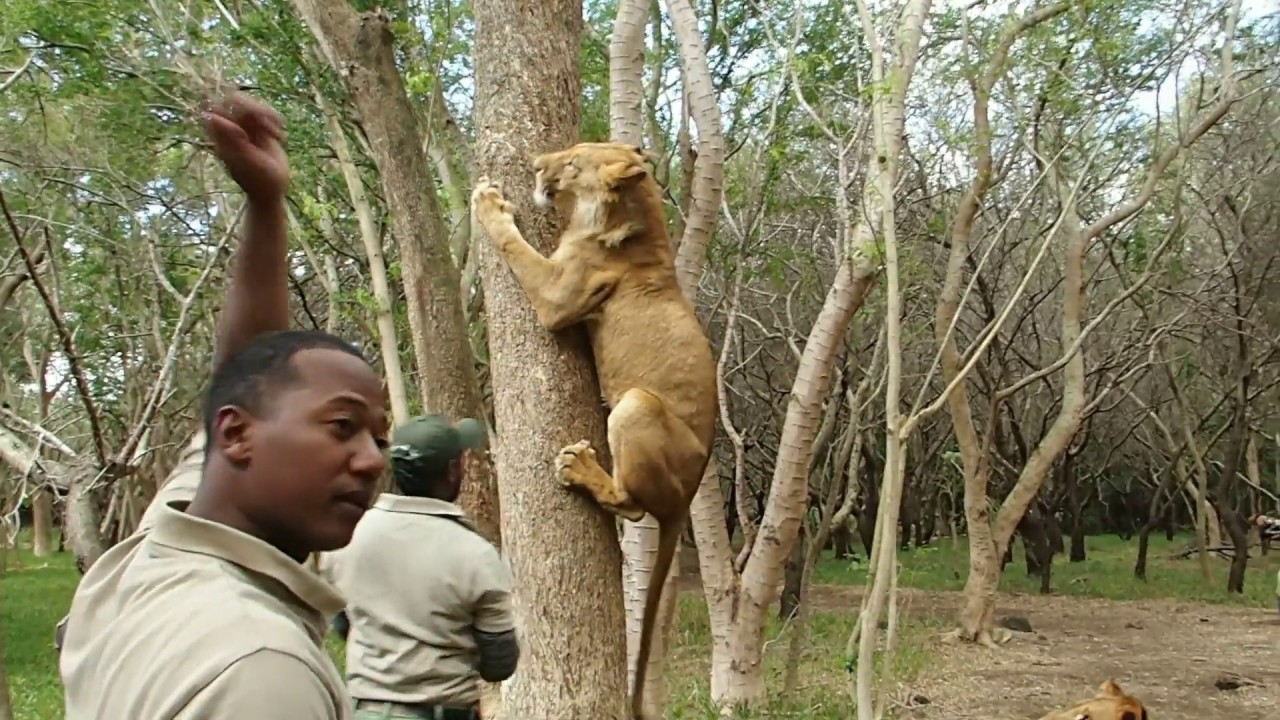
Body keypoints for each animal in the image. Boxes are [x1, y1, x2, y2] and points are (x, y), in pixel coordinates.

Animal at [471, 142, 717, 720]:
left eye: (573, 161)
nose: (538, 163)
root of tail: (689, 496)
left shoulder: (558, 296)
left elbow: (514, 246)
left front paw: (489, 203)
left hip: (634, 406)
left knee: (632, 503)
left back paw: (579, 467)